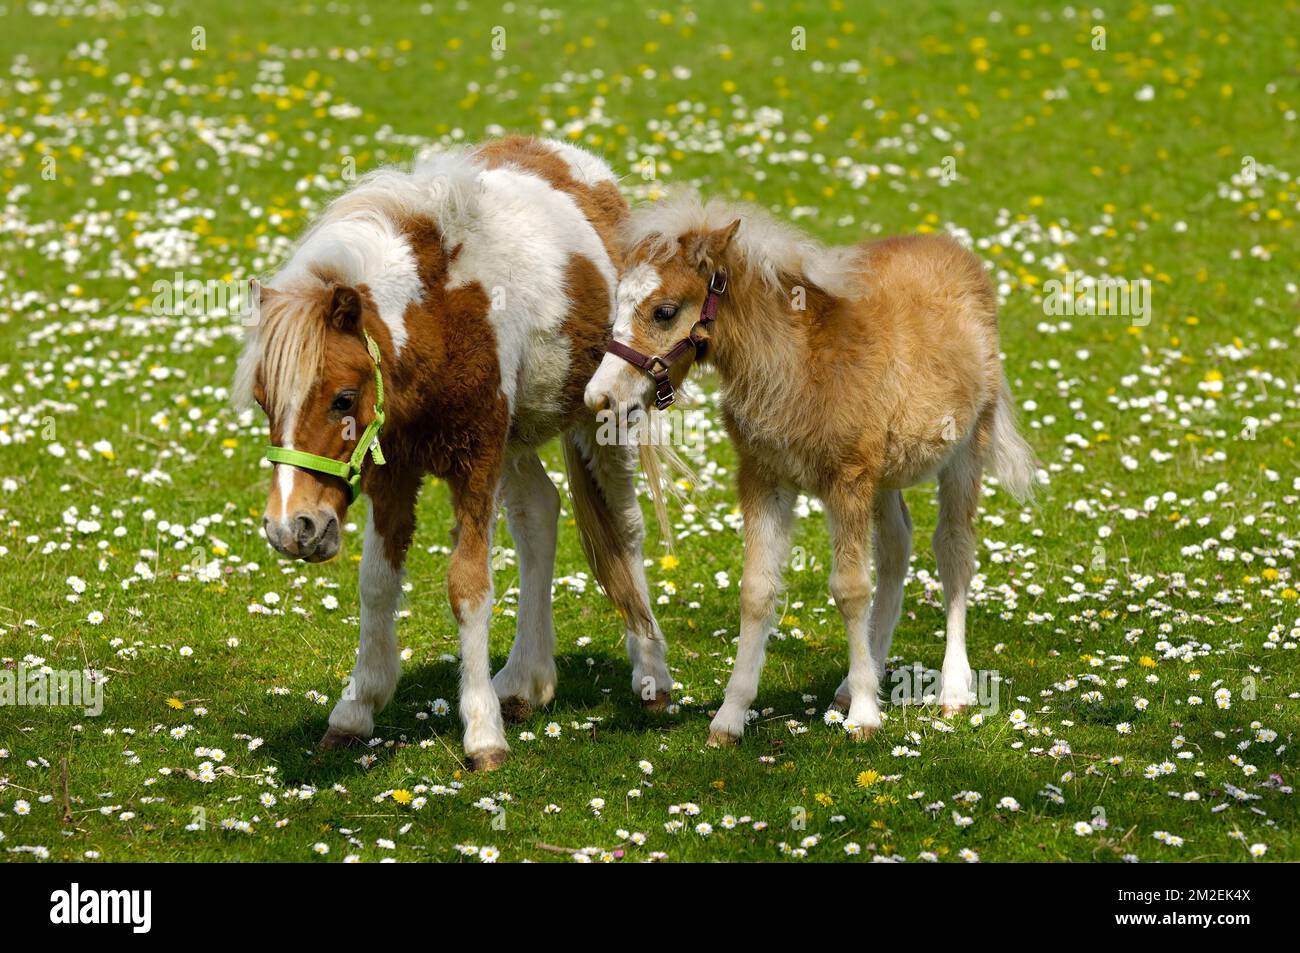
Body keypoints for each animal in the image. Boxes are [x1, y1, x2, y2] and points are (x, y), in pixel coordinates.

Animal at [234, 136, 673, 771]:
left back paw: (651, 677)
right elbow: (376, 582)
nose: (292, 528)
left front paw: (483, 733)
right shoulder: (394, 471)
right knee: (539, 515)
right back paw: (525, 681)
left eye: (343, 398)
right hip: (517, 440)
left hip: (602, 419)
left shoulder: (477, 461)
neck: (441, 317)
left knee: (624, 529)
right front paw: (356, 710)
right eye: (264, 400)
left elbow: (469, 587)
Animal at [585, 192, 1037, 746]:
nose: (599, 398)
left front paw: (864, 716)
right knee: (896, 548)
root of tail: (953, 248)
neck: (799, 365)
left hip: (965, 449)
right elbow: (757, 591)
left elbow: (850, 589)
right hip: (884, 475)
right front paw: (730, 718)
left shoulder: (849, 481)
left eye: (665, 311)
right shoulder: (764, 478)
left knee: (953, 549)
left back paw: (952, 690)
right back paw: (856, 680)